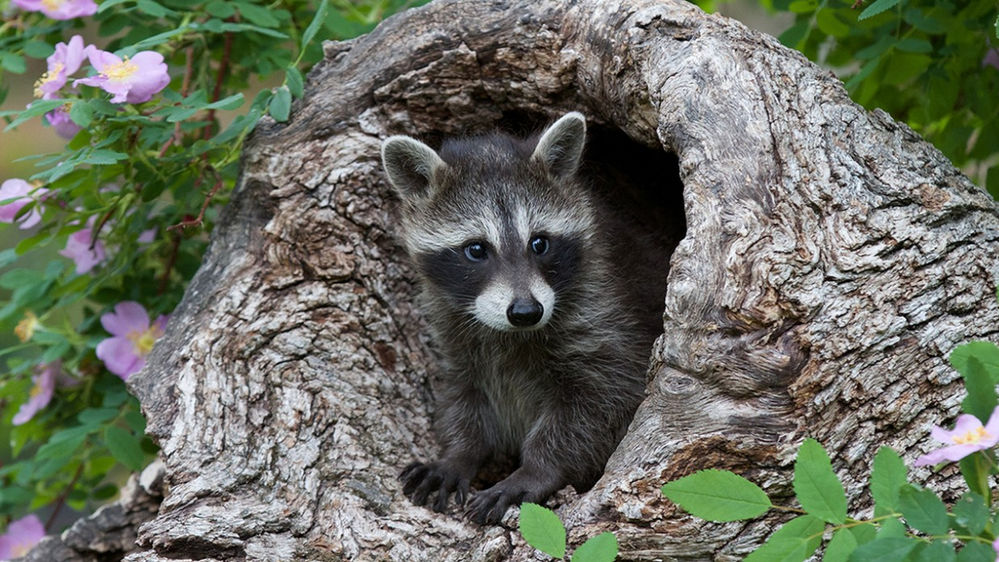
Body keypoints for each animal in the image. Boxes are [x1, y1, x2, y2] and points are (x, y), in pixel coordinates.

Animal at [381, 112, 661, 524]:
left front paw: (537, 469)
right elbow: (464, 396)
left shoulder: (606, 314)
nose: (527, 312)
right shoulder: (455, 336)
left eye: (539, 243)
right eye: (476, 249)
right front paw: (459, 453)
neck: (507, 332)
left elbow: (603, 401)